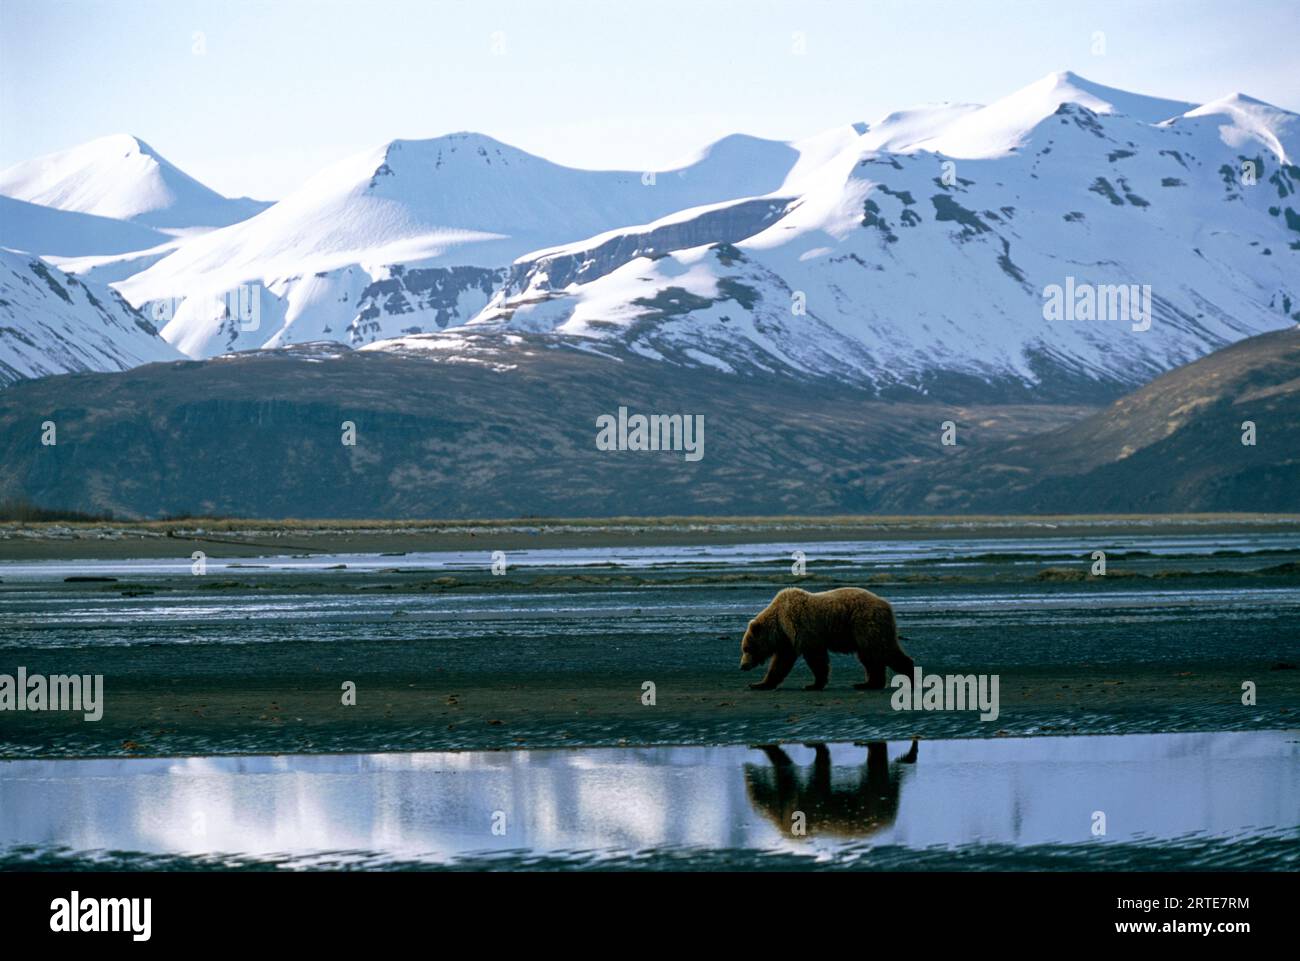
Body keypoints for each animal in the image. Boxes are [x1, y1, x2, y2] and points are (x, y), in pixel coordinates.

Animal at [739, 586, 914, 691]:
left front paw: (813, 684)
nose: (742, 666)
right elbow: (781, 663)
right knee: (870, 656)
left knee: (881, 650)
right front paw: (759, 684)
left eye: (747, 648)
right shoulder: (787, 640)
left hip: (865, 623)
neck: (779, 623)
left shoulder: (802, 629)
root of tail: (887, 605)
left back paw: (909, 675)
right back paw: (868, 684)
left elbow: (816, 658)